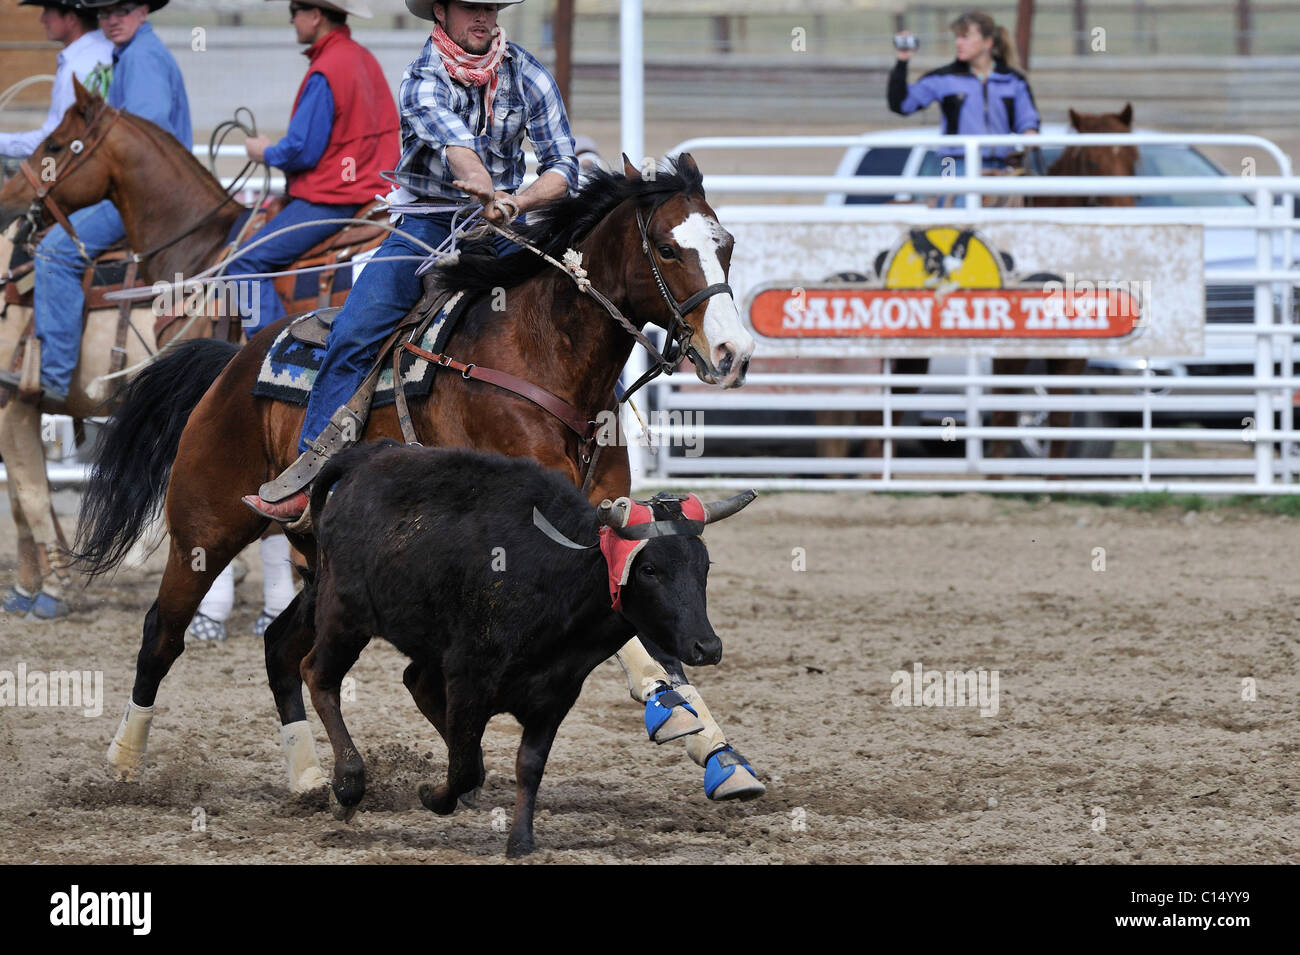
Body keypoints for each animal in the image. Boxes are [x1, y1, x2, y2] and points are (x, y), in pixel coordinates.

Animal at [68, 153, 756, 794]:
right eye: (667, 248)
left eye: (725, 245)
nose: (734, 354)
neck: (541, 361)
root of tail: (231, 364)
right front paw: (671, 708)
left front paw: (714, 750)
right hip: (204, 530)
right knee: (163, 634)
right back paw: (125, 760)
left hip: (321, 560)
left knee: (280, 648)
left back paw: (308, 775)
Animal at [295, 441, 757, 857]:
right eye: (649, 569)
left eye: (704, 566)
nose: (707, 646)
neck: (558, 577)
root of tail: (367, 456)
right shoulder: (469, 677)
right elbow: (462, 766)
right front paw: (433, 794)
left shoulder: (555, 696)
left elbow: (527, 765)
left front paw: (520, 840)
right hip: (344, 614)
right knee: (319, 675)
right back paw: (348, 785)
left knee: (416, 681)